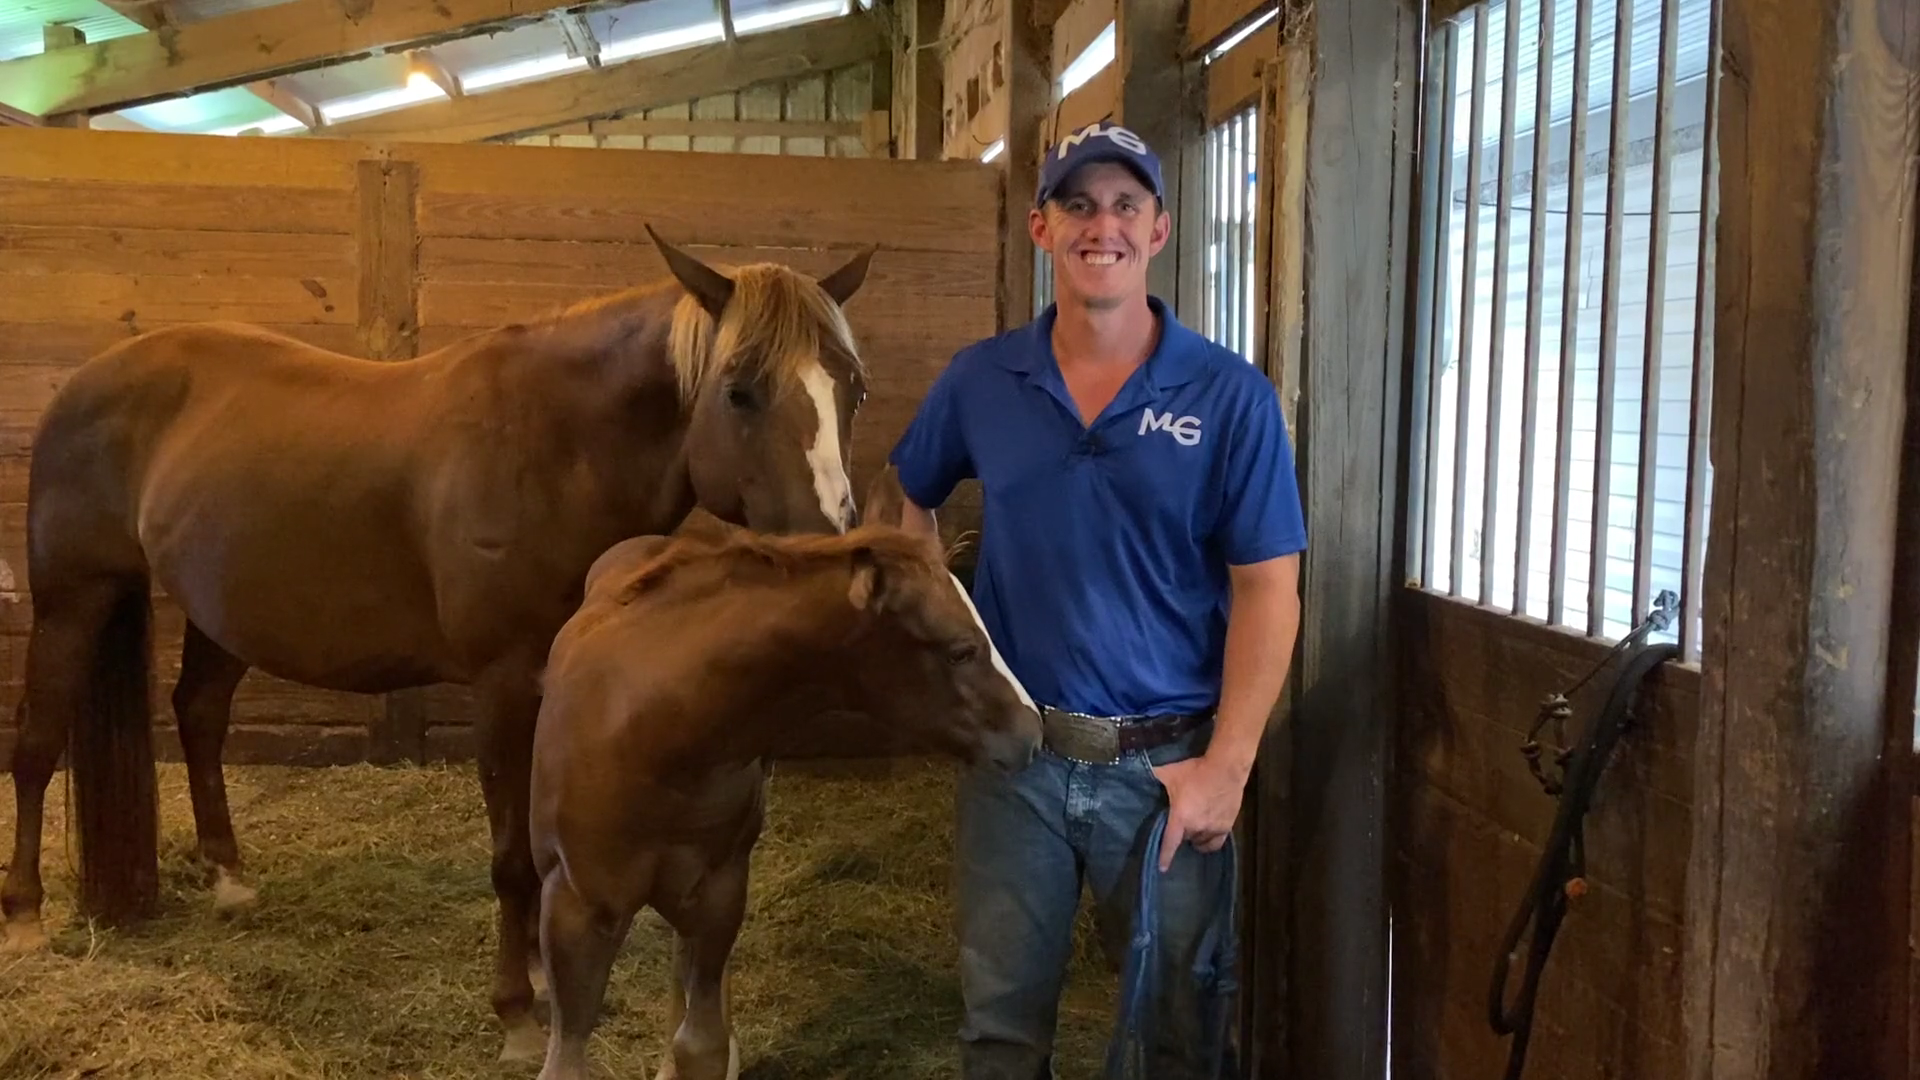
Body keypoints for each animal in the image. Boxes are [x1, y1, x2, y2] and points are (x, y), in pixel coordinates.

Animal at [0, 226, 877, 1061]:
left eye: (853, 387)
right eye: (739, 390)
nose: (829, 545)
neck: (554, 447)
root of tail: (87, 381)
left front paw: (538, 978)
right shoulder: (502, 684)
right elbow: (510, 856)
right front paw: (516, 1012)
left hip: (223, 613)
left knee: (199, 714)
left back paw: (228, 879)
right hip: (73, 600)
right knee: (38, 746)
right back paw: (26, 914)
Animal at [524, 466, 1042, 1080]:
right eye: (960, 650)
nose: (1032, 732)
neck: (660, 736)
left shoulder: (720, 890)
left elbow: (701, 1042)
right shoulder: (574, 909)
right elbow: (566, 1061)